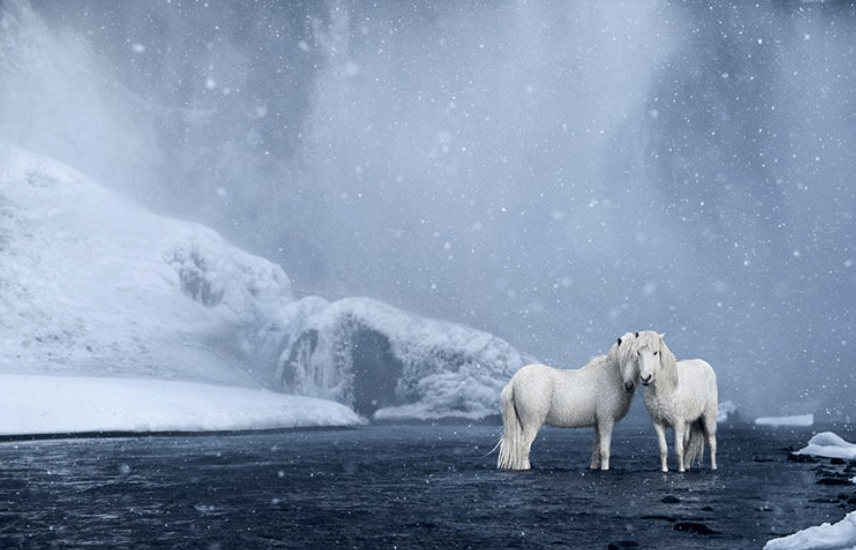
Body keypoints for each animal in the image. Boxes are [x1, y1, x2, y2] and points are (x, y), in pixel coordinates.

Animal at [496, 333, 641, 471]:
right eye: (622, 360)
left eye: (637, 358)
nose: (629, 385)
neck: (611, 377)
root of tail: (513, 381)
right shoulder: (607, 421)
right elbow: (605, 451)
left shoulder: (598, 423)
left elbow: (597, 450)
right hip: (531, 423)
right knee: (524, 447)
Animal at [633, 331, 718, 472]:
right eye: (638, 353)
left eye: (655, 352)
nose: (645, 378)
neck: (667, 389)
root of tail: (705, 364)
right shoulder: (658, 423)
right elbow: (663, 449)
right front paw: (665, 470)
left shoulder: (678, 423)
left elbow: (678, 449)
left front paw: (681, 471)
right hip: (690, 422)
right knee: (689, 443)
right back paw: (688, 465)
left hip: (708, 417)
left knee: (712, 442)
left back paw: (713, 467)